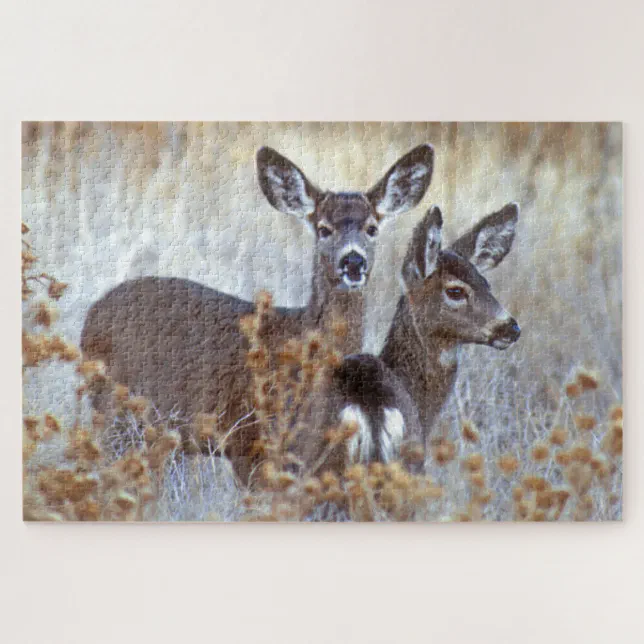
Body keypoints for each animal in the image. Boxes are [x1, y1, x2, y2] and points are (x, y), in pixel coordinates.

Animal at [80, 144, 435, 486]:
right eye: (323, 229)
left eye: (372, 228)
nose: (353, 262)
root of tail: (92, 314)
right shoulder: (247, 440)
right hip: (114, 412)